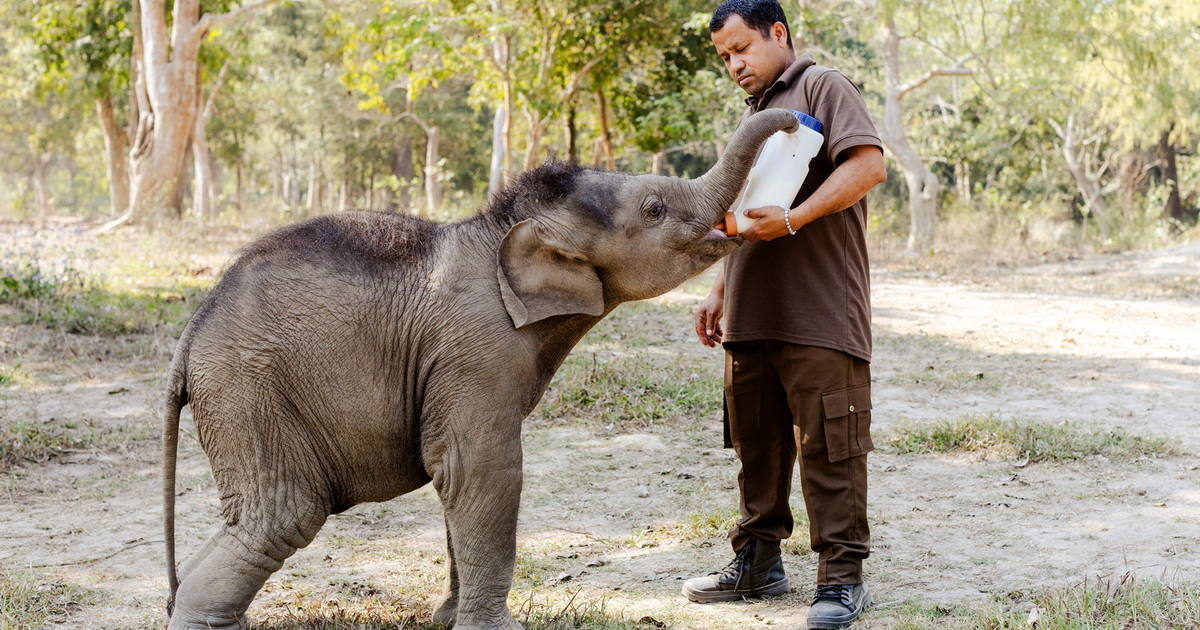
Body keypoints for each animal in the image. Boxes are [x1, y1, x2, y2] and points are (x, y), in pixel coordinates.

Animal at [161, 108, 801, 630]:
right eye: (655, 209)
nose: (796, 122)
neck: (505, 229)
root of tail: (189, 337)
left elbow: (456, 478)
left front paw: (447, 619)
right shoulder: (475, 349)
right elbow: (480, 469)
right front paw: (495, 628)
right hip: (248, 393)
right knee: (281, 516)